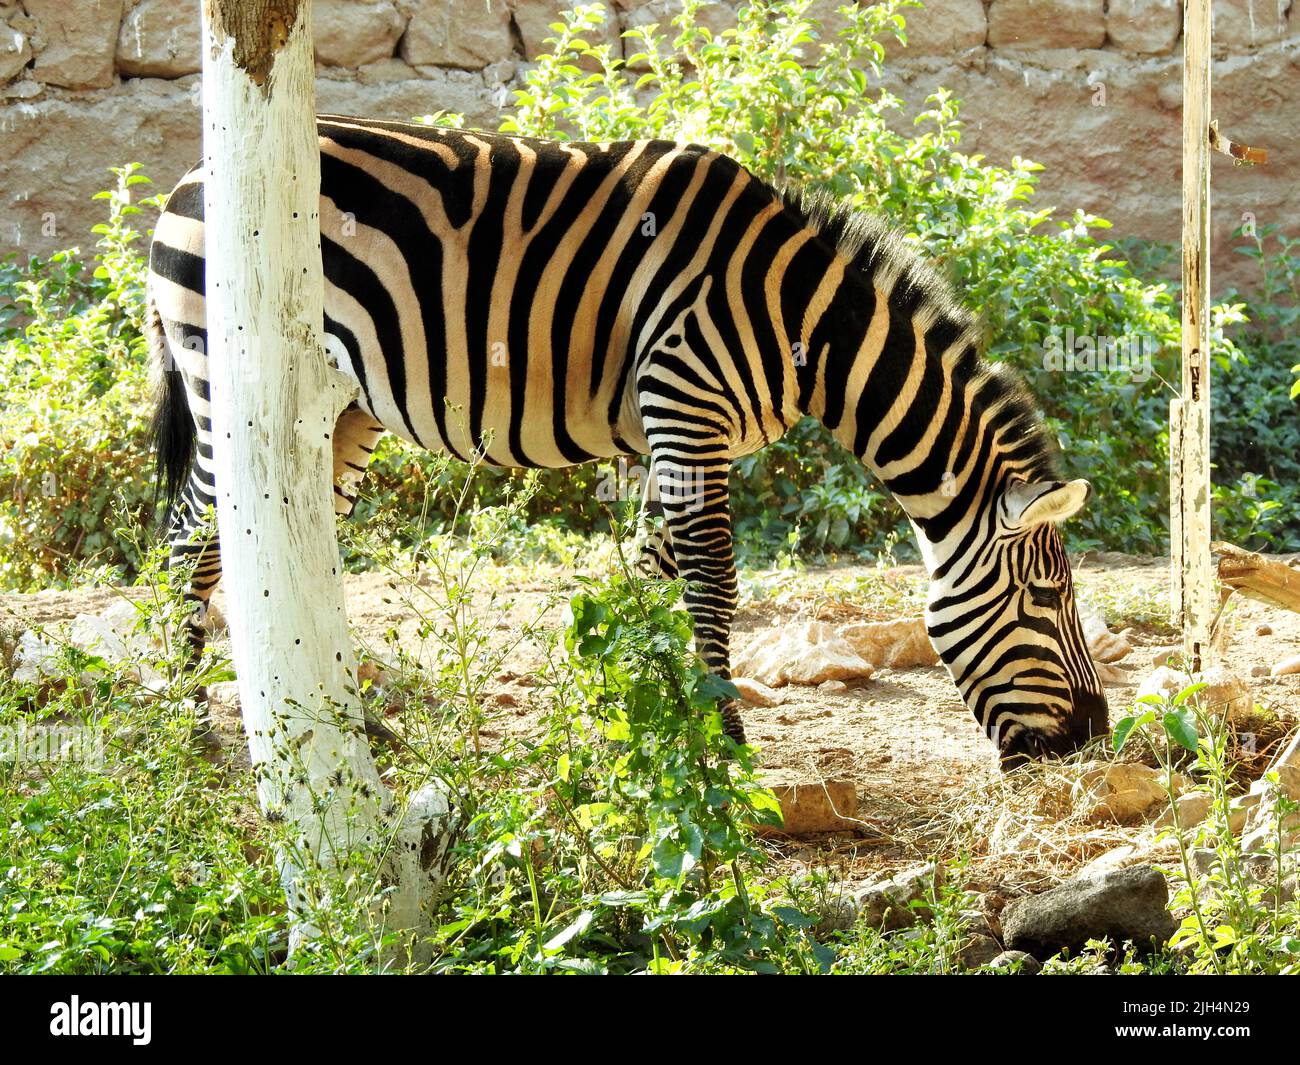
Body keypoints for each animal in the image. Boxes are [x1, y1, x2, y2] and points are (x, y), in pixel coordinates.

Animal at [147, 116, 1109, 767]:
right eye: (1047, 600)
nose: (1093, 736)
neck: (800, 321)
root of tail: (191, 176)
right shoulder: (687, 406)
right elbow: (714, 585)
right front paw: (724, 740)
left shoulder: (675, 432)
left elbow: (647, 574)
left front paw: (615, 707)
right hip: (223, 375)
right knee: (187, 546)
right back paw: (183, 727)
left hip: (337, 409)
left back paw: (344, 719)